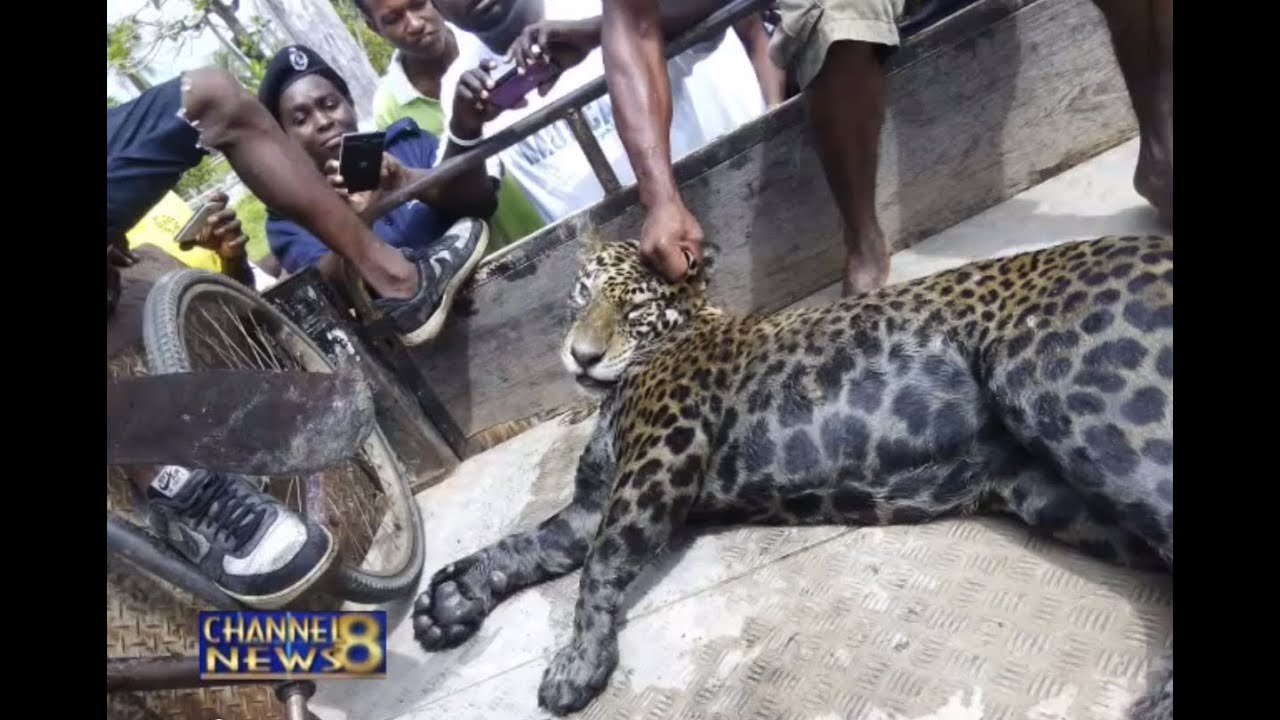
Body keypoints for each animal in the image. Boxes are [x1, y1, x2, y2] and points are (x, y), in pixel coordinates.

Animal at [410, 233, 1174, 720]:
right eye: (579, 295)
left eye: (632, 308)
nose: (582, 355)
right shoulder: (593, 503)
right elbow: (524, 545)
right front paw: (451, 600)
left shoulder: (660, 459)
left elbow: (599, 566)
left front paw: (579, 663)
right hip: (1051, 491)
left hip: (1071, 396)